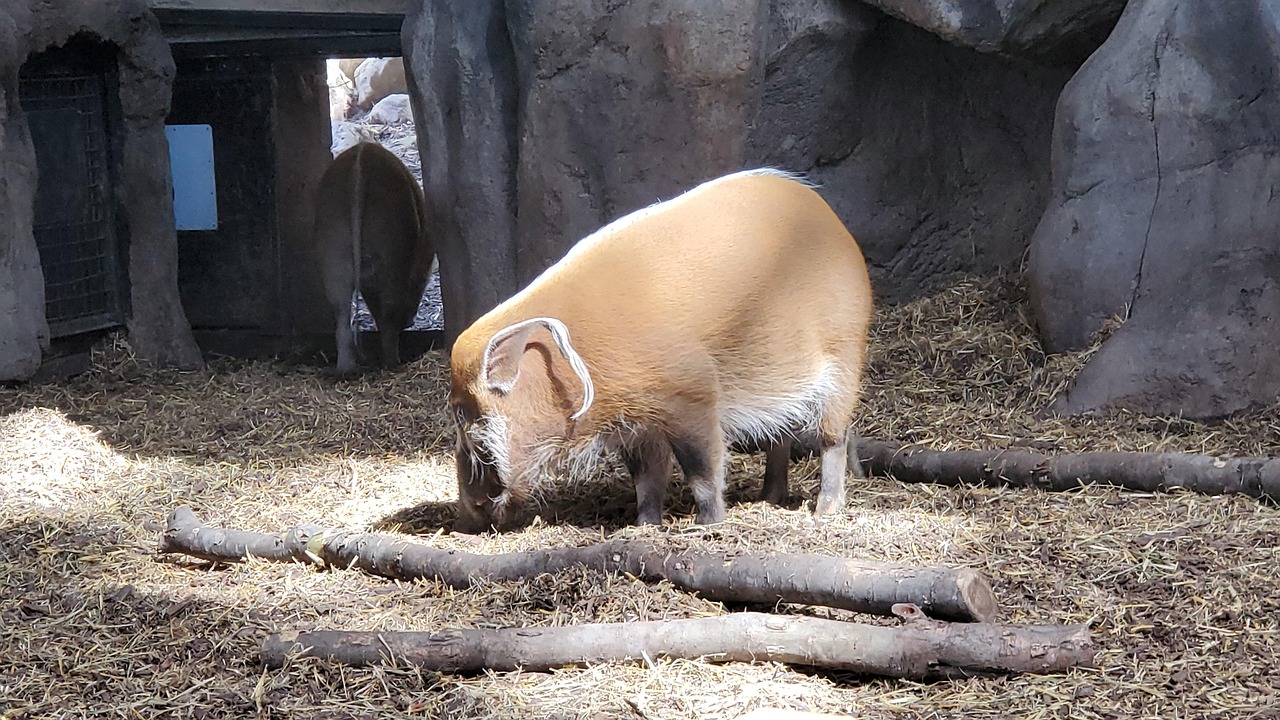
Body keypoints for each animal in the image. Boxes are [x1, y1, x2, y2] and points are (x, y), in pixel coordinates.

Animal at [312, 141, 435, 375]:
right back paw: (392, 364)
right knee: (388, 311)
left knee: (340, 310)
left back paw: (345, 370)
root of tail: (357, 177)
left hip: (332, 247)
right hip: (391, 252)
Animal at [448, 168, 873, 530]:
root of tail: (831, 218)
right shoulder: (636, 425)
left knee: (832, 438)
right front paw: (644, 527)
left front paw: (707, 525)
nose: (466, 518)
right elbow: (647, 479)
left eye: (461, 412)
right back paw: (769, 497)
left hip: (844, 356)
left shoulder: (692, 395)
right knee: (779, 438)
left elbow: (702, 470)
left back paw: (825, 511)